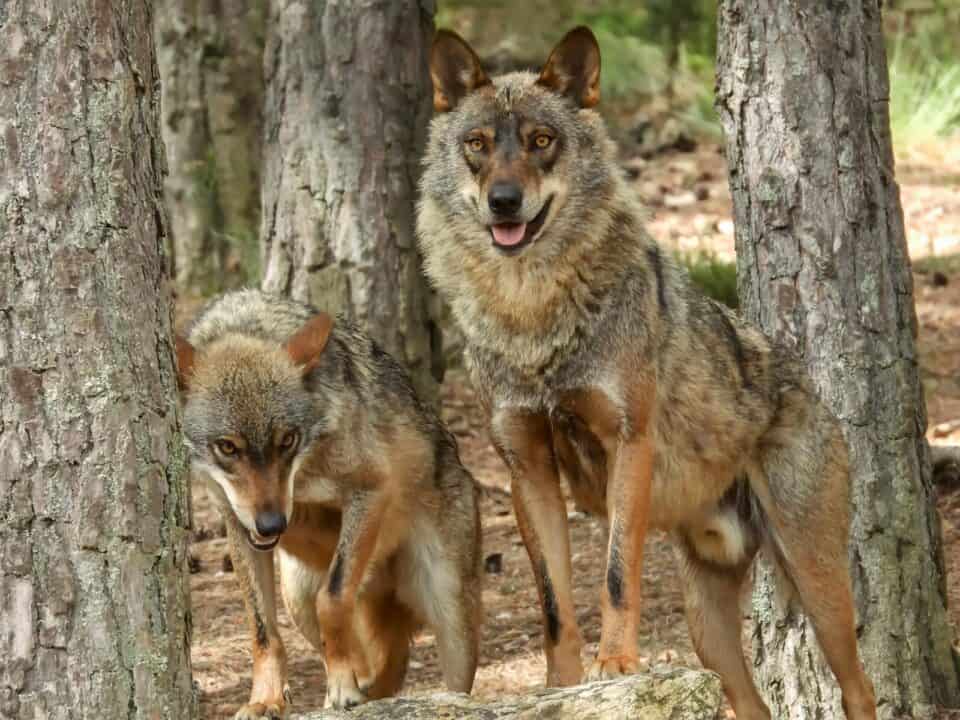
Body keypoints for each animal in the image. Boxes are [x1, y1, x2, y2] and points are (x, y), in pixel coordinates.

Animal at [176, 290, 481, 717]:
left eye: (287, 440)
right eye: (227, 447)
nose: (272, 525)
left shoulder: (370, 489)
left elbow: (333, 598)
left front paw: (341, 688)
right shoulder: (236, 524)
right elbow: (263, 631)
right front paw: (265, 699)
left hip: (451, 616)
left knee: (449, 683)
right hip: (297, 596)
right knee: (382, 664)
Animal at [416, 26, 877, 720]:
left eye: (541, 141)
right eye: (477, 145)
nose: (504, 203)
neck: (533, 317)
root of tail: (809, 387)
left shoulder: (626, 445)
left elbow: (614, 576)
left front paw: (617, 664)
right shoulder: (527, 469)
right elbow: (553, 601)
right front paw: (562, 687)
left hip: (817, 586)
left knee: (860, 687)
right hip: (708, 630)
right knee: (754, 704)